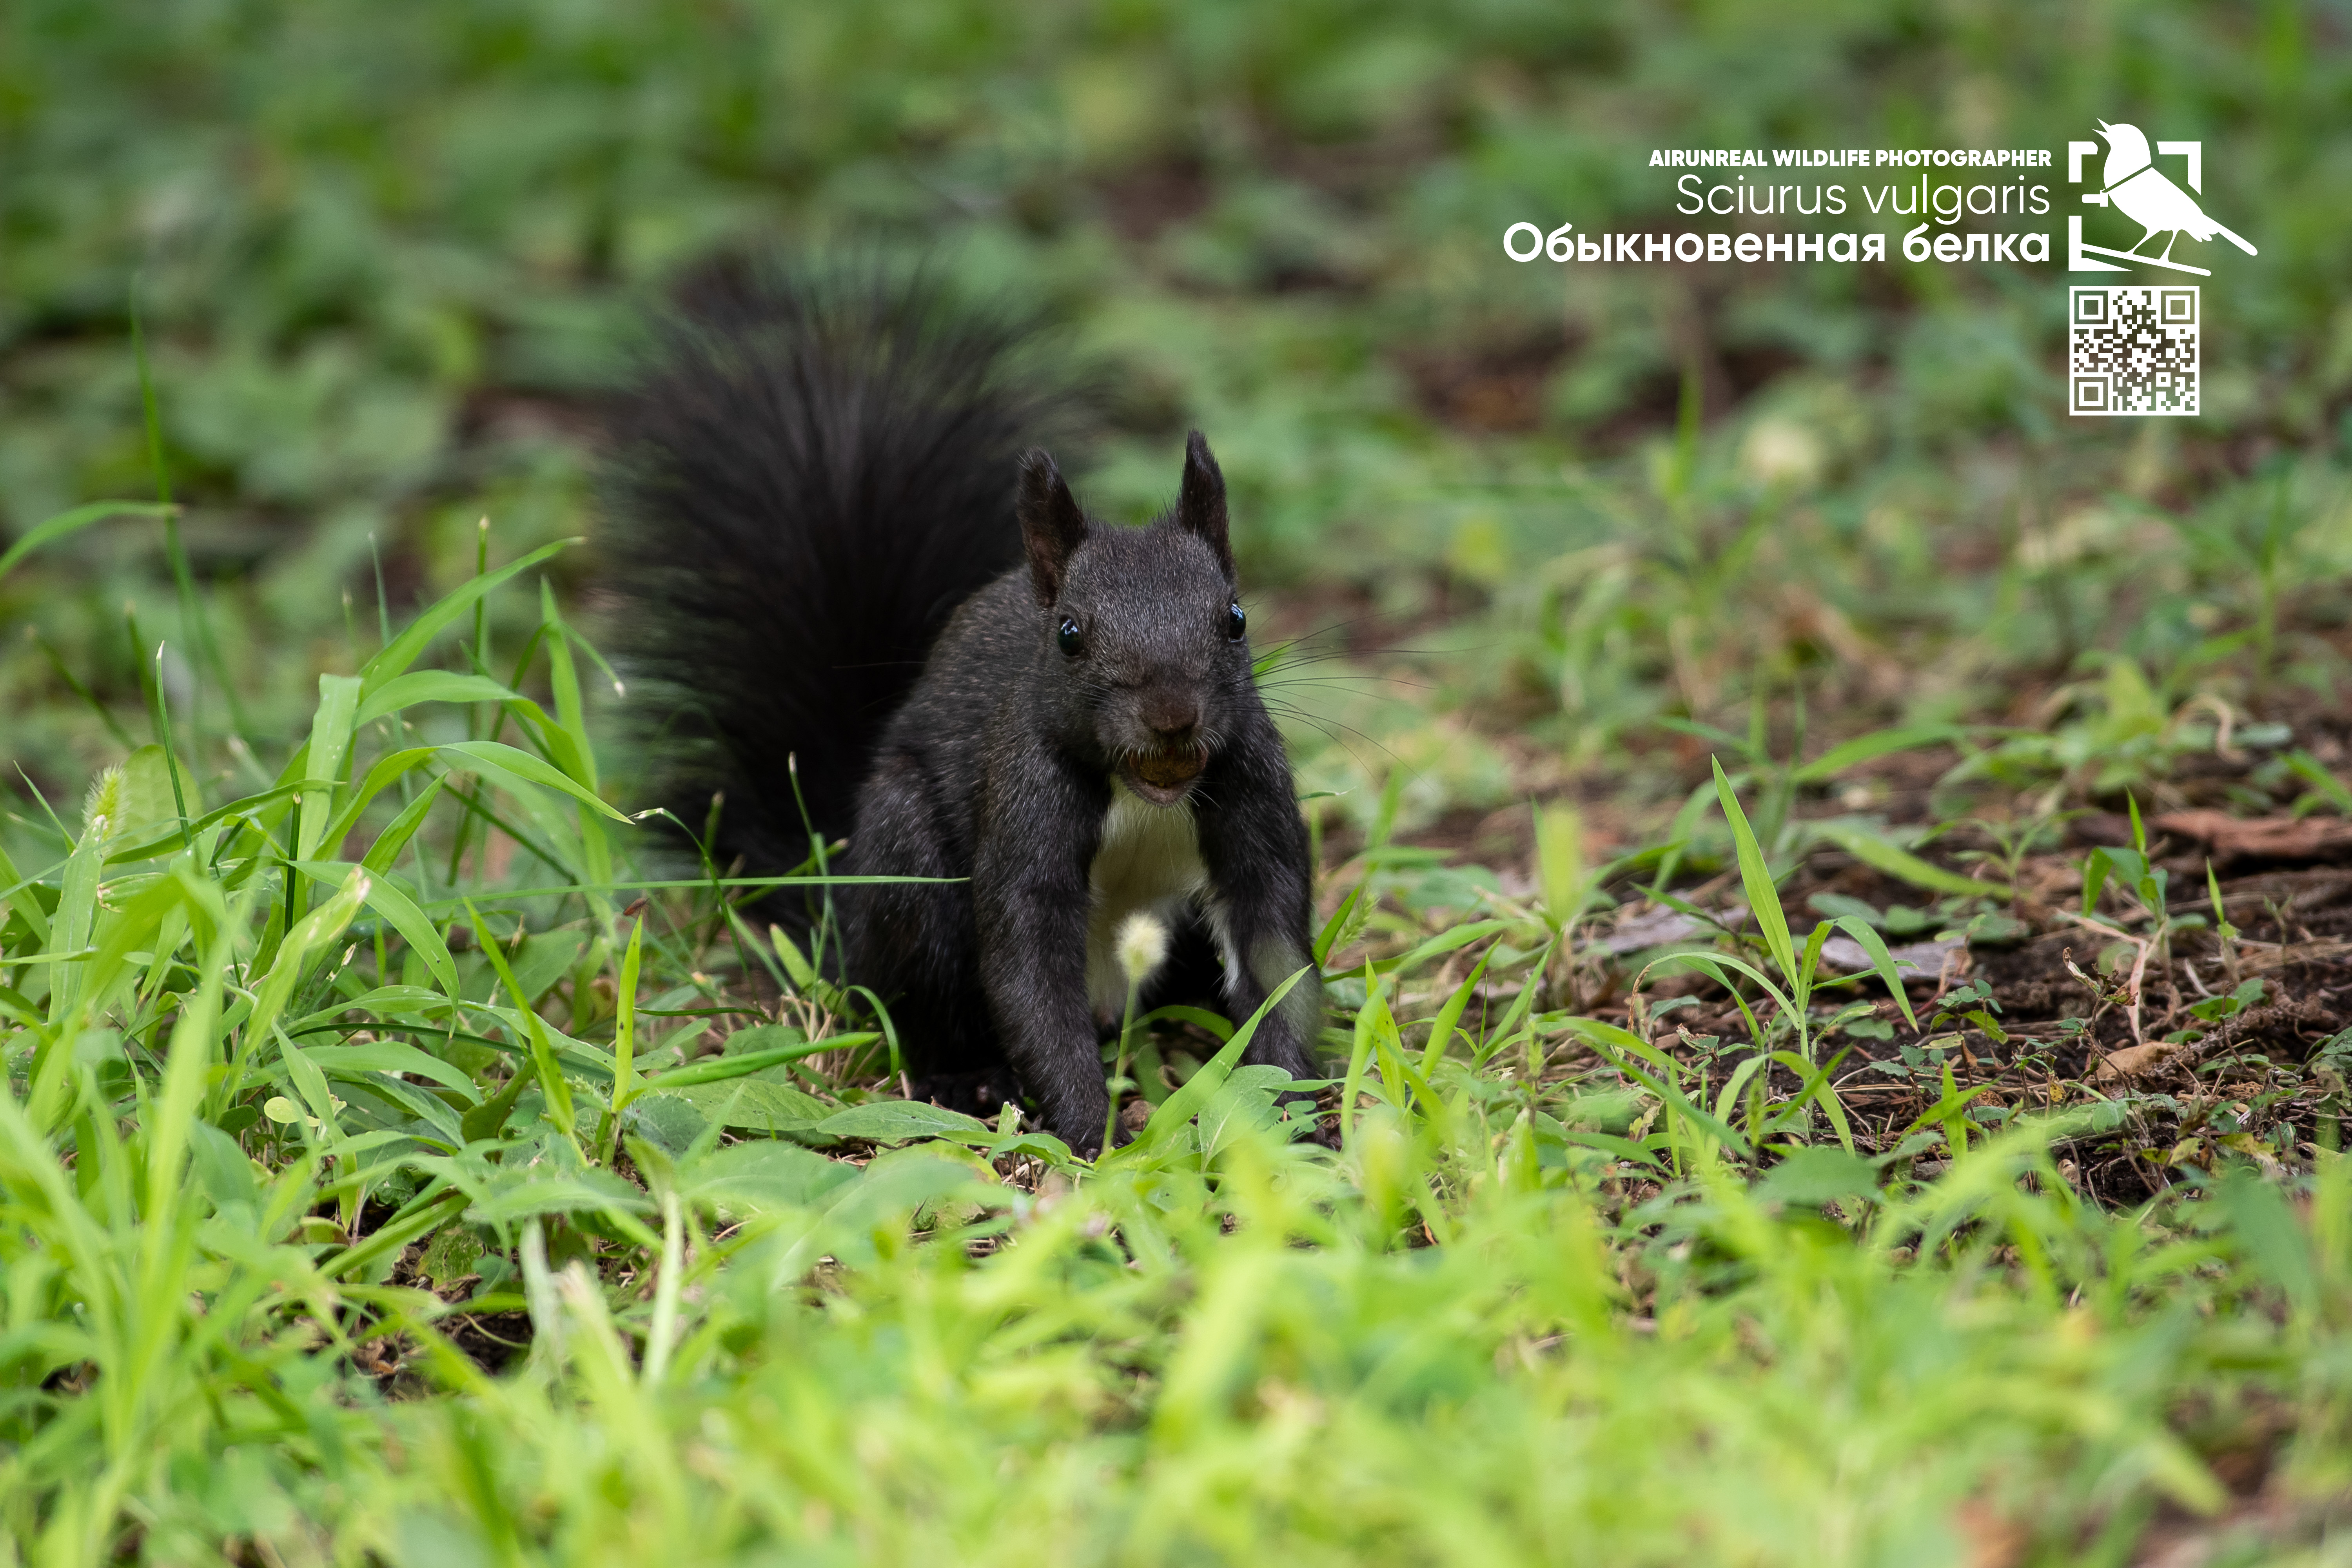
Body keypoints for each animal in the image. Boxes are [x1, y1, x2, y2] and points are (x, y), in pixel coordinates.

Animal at [602, 263, 1327, 1152]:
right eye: (1070, 635)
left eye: (1235, 618)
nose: (1171, 716)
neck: (1142, 796)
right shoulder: (1025, 804)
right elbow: (1025, 970)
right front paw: (1093, 1134)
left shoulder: (1251, 793)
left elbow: (1275, 949)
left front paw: (1292, 1109)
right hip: (909, 871)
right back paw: (965, 1079)